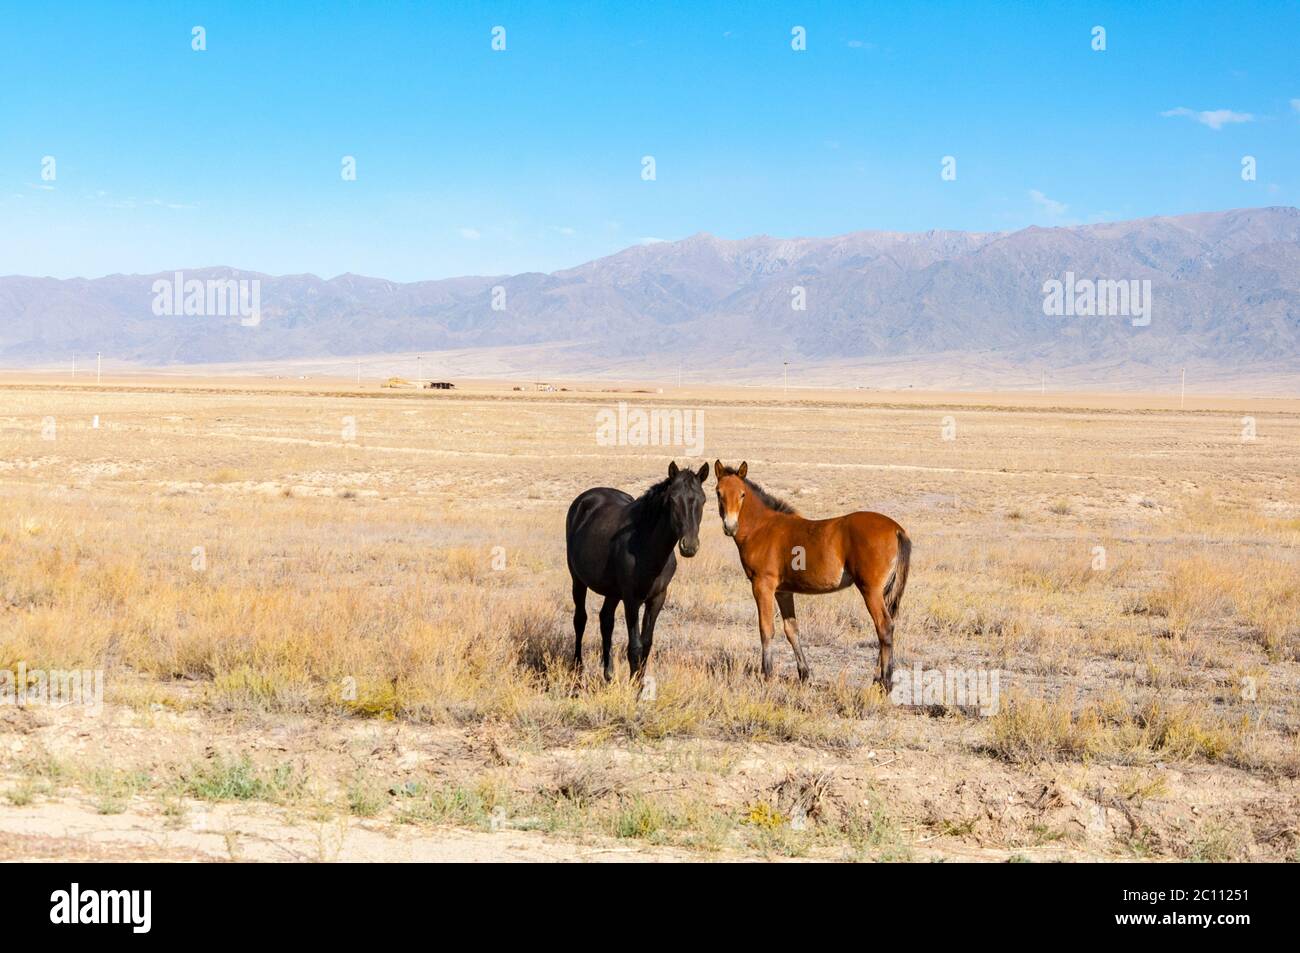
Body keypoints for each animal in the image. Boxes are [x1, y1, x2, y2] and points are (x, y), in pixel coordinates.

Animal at [566, 462, 709, 683]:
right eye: (672, 500)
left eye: (702, 499)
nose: (690, 546)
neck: (645, 544)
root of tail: (583, 500)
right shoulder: (632, 600)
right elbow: (635, 646)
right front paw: (634, 685)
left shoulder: (657, 598)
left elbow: (647, 643)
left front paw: (640, 682)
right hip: (578, 581)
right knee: (580, 619)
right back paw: (578, 669)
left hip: (613, 592)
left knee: (606, 620)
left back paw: (609, 674)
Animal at [712, 460, 911, 687]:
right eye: (718, 492)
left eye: (742, 494)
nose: (730, 526)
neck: (761, 527)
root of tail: (896, 529)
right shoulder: (783, 592)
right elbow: (792, 630)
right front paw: (804, 674)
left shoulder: (762, 585)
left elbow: (766, 629)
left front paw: (767, 675)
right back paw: (877, 678)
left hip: (871, 590)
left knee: (884, 627)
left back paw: (885, 682)